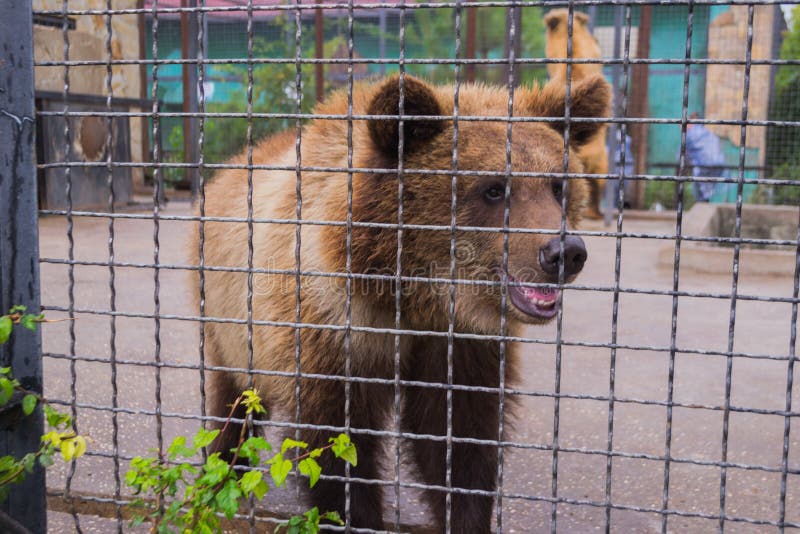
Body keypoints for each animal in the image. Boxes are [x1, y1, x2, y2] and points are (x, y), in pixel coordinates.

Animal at [192, 73, 610, 531]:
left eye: (557, 185)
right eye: (493, 188)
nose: (563, 252)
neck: (413, 296)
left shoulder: (462, 346)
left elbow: (459, 437)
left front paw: (465, 515)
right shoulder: (330, 330)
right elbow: (338, 443)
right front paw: (359, 516)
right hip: (228, 319)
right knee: (234, 399)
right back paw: (222, 472)